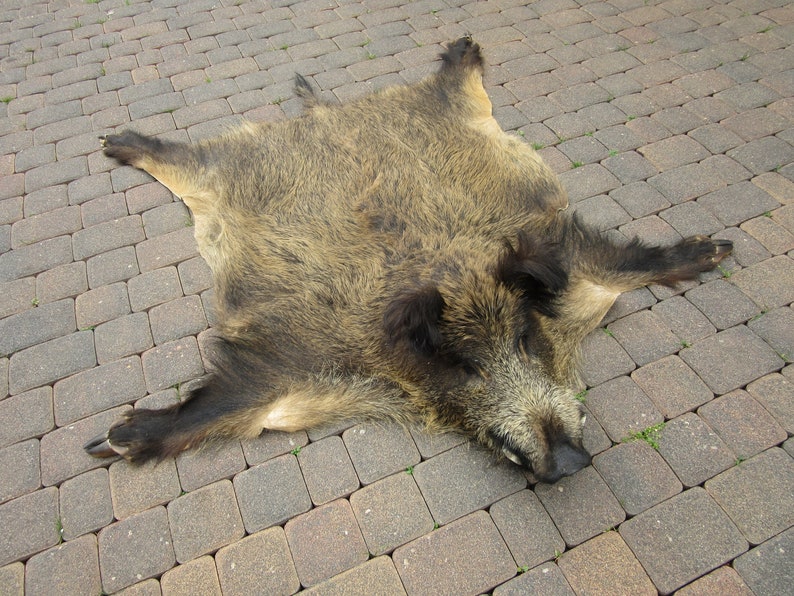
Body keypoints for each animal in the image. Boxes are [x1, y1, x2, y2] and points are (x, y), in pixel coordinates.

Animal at [85, 38, 732, 483]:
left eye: (526, 340)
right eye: (463, 366)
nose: (570, 460)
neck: (448, 277)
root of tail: (330, 113)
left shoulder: (559, 251)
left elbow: (631, 262)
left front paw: (718, 250)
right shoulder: (295, 363)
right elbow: (224, 405)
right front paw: (109, 441)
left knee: (455, 79)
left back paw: (464, 46)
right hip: (225, 173)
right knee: (185, 158)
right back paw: (114, 142)